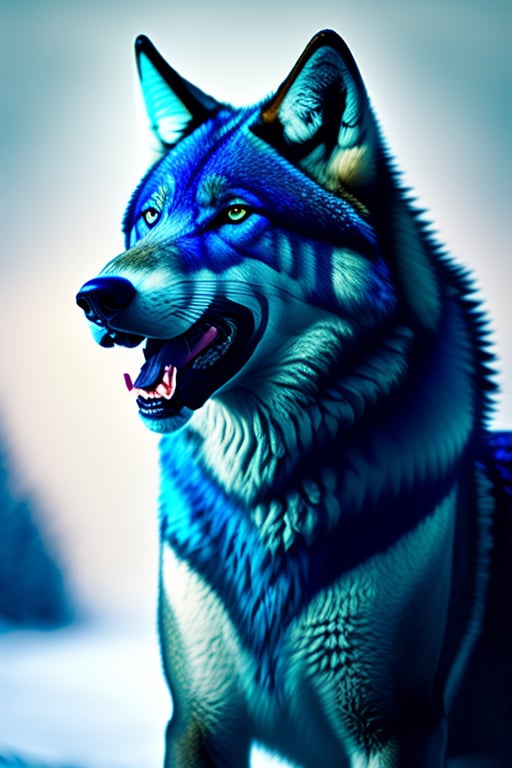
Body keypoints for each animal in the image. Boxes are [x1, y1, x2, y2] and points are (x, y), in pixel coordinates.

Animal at [76, 30, 512, 768]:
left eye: (235, 213)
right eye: (150, 219)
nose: (95, 297)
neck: (261, 499)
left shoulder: (395, 729)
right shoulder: (198, 720)